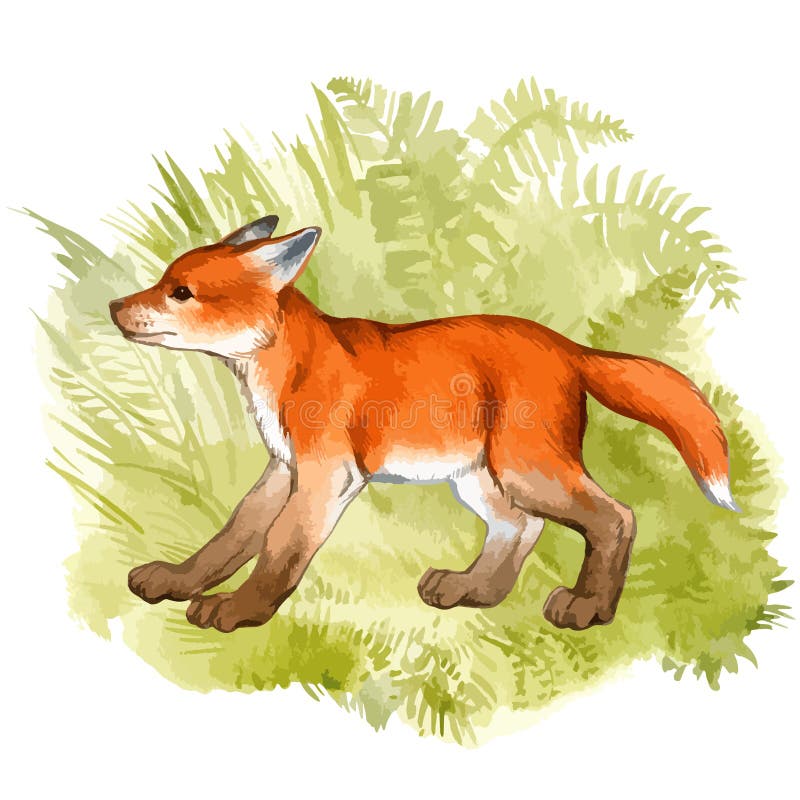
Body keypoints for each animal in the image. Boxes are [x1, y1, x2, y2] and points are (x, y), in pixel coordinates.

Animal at [109, 214, 739, 633]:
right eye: (163, 281)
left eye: (181, 292)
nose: (114, 307)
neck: (284, 369)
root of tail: (567, 346)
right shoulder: (283, 470)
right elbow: (228, 539)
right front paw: (176, 581)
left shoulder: (327, 478)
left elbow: (278, 552)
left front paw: (239, 611)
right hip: (482, 479)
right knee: (521, 527)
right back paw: (474, 591)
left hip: (528, 470)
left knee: (615, 518)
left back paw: (588, 608)